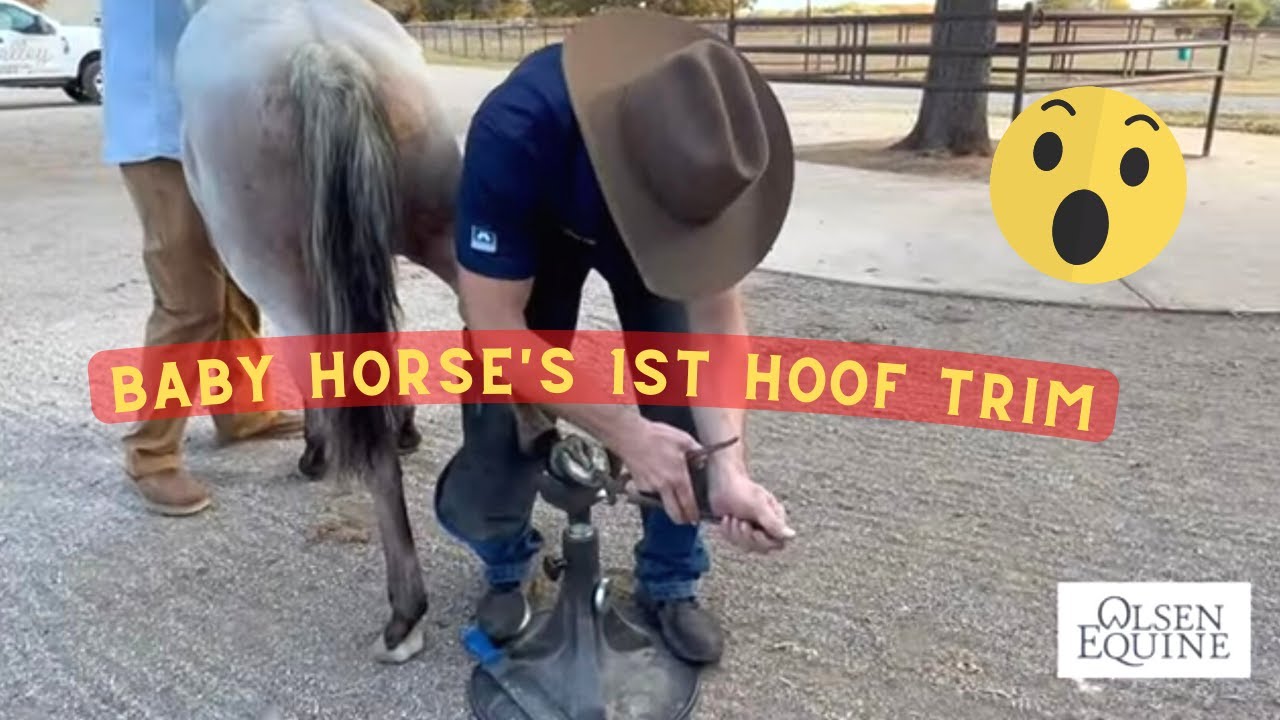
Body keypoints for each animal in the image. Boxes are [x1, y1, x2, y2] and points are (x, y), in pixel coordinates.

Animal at [173, 0, 462, 664]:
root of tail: (324, 55)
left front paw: (316, 449)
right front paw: (406, 425)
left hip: (275, 270)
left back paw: (404, 615)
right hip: (448, 240)